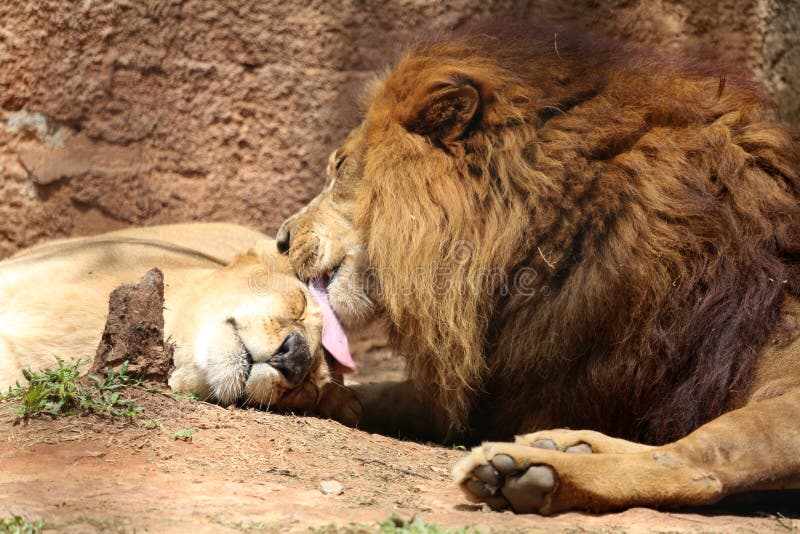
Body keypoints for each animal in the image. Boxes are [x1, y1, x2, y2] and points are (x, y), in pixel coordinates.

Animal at [277, 23, 800, 514]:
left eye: (340, 166)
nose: (280, 240)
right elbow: (376, 391)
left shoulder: (546, 383)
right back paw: (566, 444)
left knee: (694, 464)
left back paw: (526, 470)